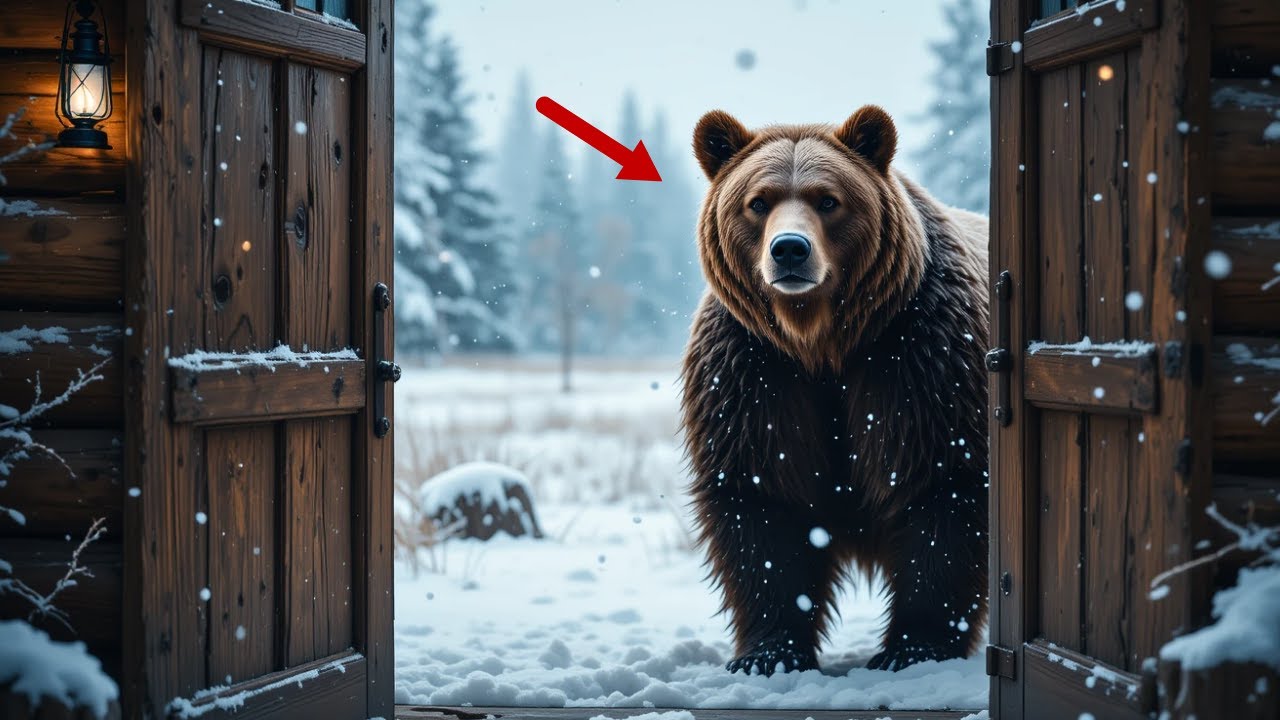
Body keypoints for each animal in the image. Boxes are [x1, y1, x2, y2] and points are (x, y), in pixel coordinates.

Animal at [680, 105, 989, 676]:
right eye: (758, 201)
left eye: (828, 199)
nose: (789, 250)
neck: (822, 344)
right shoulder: (757, 375)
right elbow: (763, 504)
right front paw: (769, 653)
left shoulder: (920, 362)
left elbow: (943, 489)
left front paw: (915, 647)